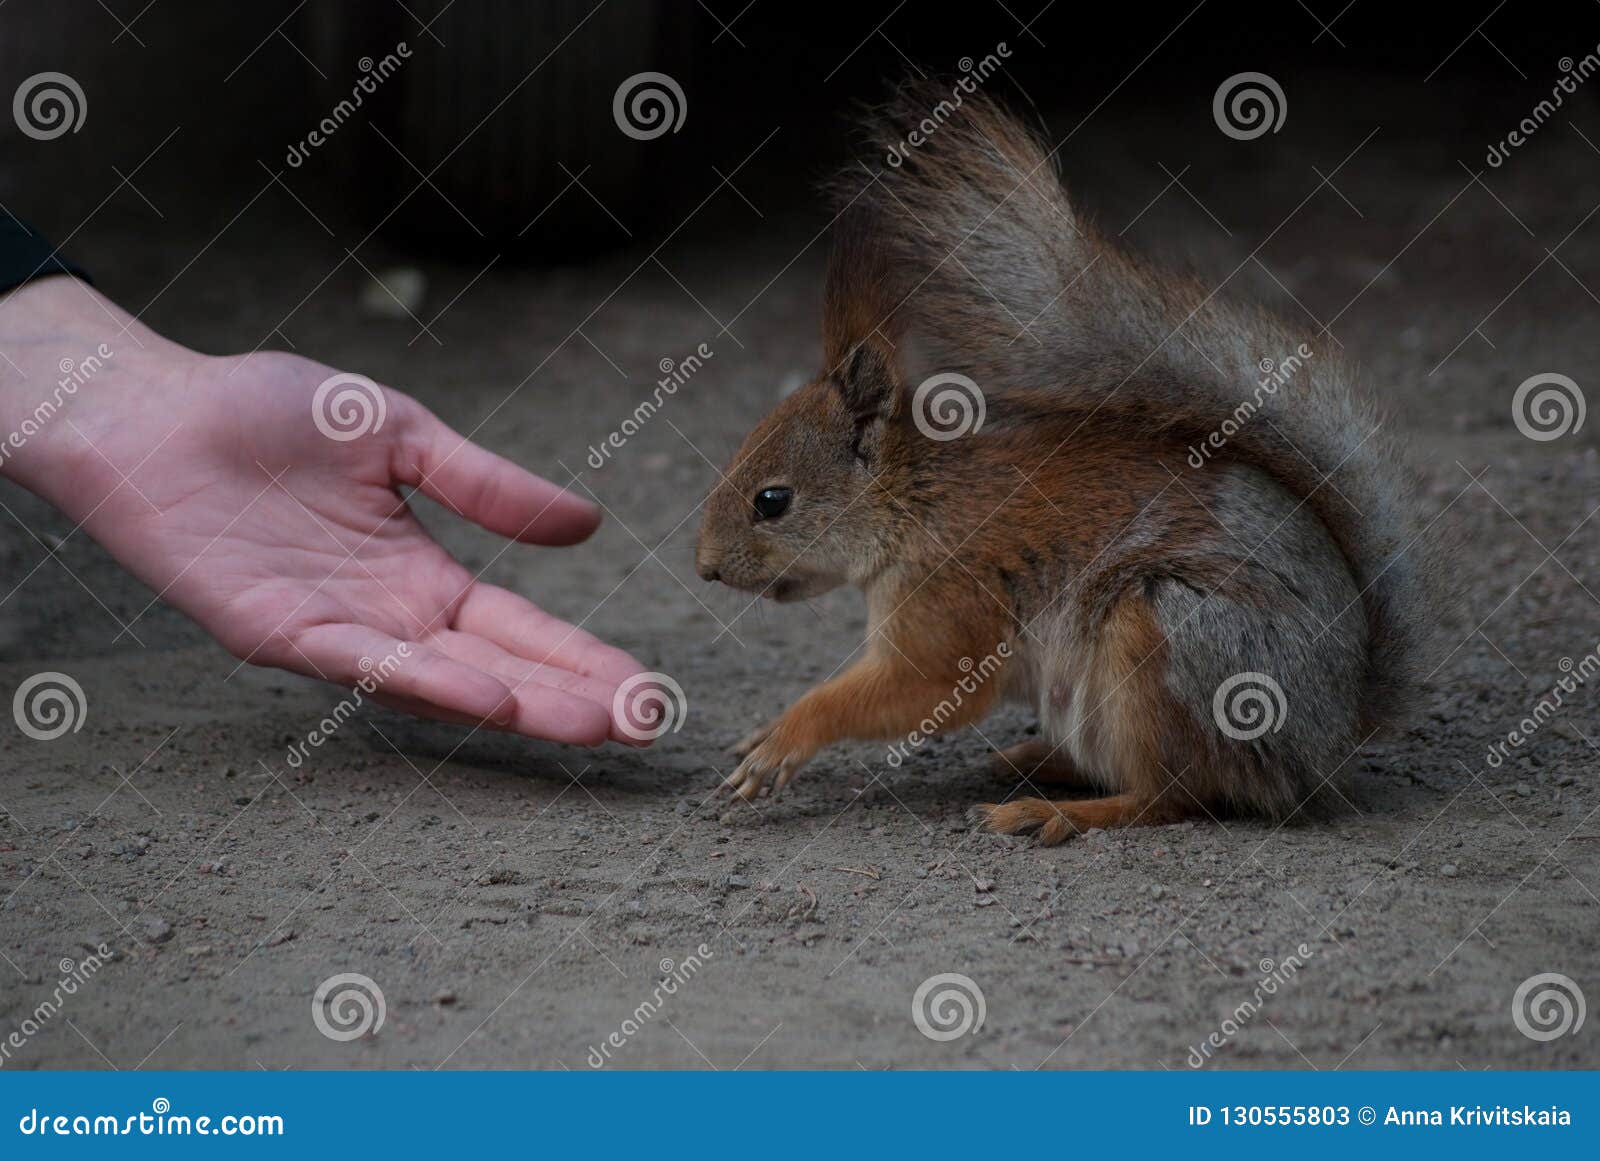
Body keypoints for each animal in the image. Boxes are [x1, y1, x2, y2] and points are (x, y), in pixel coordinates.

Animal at [693, 84, 1443, 844]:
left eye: (772, 500)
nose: (705, 569)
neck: (913, 504)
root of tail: (1333, 733)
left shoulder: (950, 599)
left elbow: (923, 688)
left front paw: (783, 738)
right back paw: (1037, 760)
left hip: (1172, 647)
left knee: (1172, 796)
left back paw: (1051, 812)